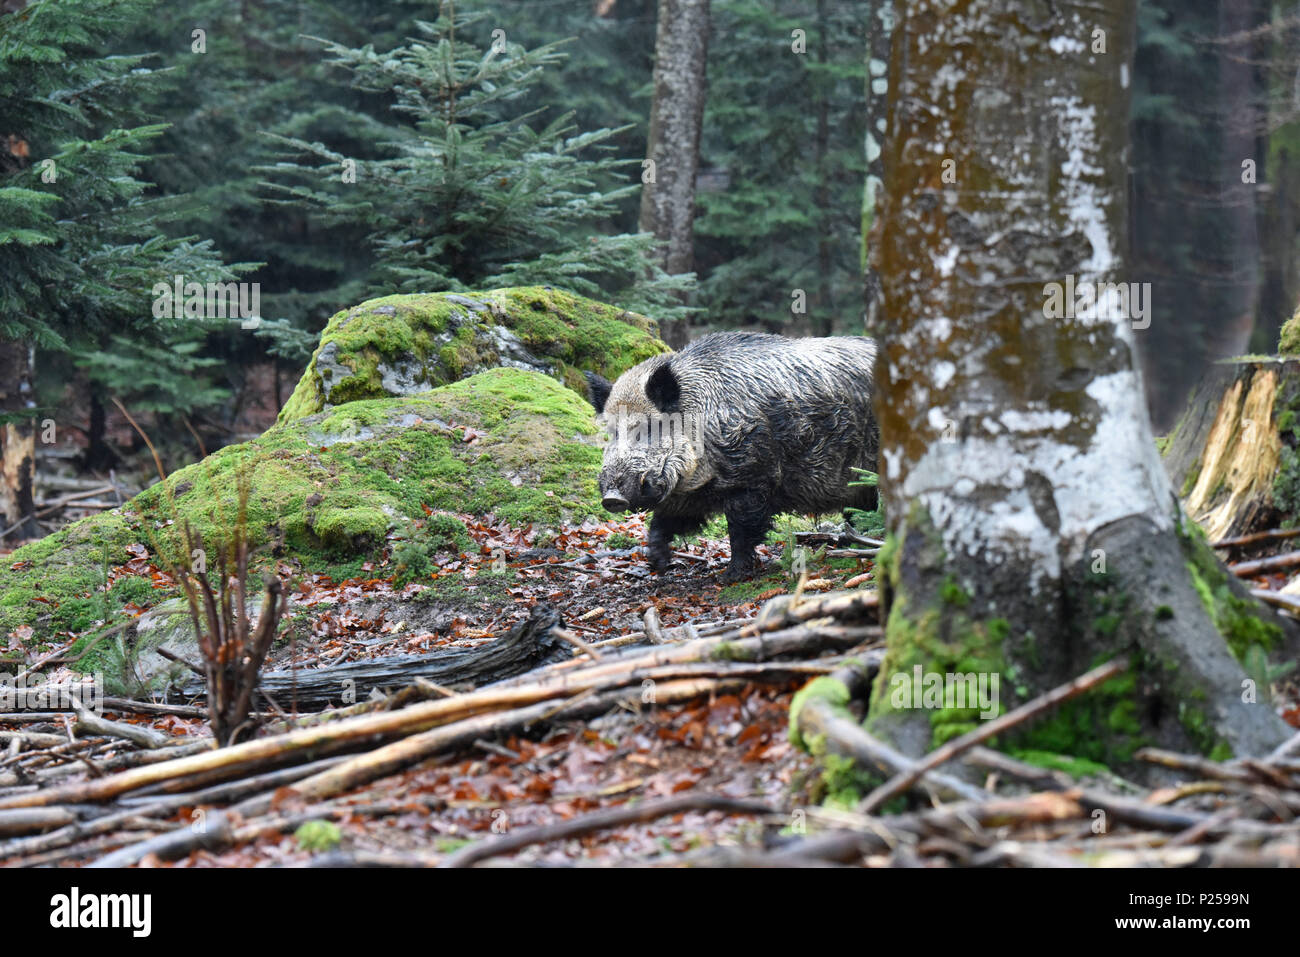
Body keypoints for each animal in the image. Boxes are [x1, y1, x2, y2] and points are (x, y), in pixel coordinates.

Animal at [585, 331, 879, 582]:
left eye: (649, 427)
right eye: (611, 431)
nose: (612, 498)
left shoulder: (754, 478)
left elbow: (741, 530)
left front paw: (730, 577)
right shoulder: (691, 493)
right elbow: (665, 520)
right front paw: (658, 563)